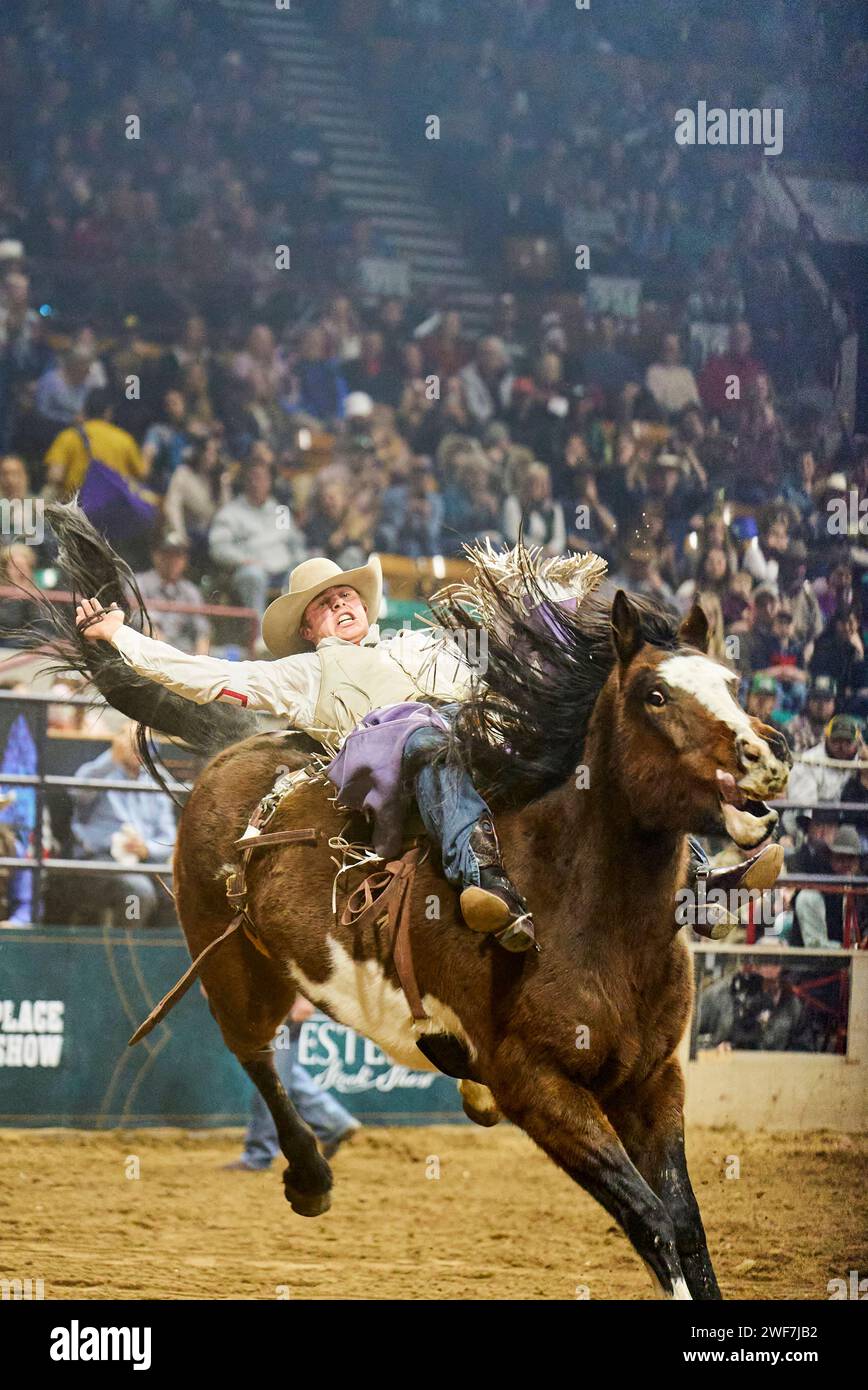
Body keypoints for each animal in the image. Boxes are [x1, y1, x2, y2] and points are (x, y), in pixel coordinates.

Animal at [27, 505, 791, 1300]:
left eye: (732, 681)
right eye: (655, 695)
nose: (768, 753)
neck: (595, 921)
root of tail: (240, 752)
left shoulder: (654, 1080)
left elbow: (689, 1230)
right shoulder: (538, 1085)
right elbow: (653, 1223)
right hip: (234, 969)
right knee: (256, 1052)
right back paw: (309, 1174)